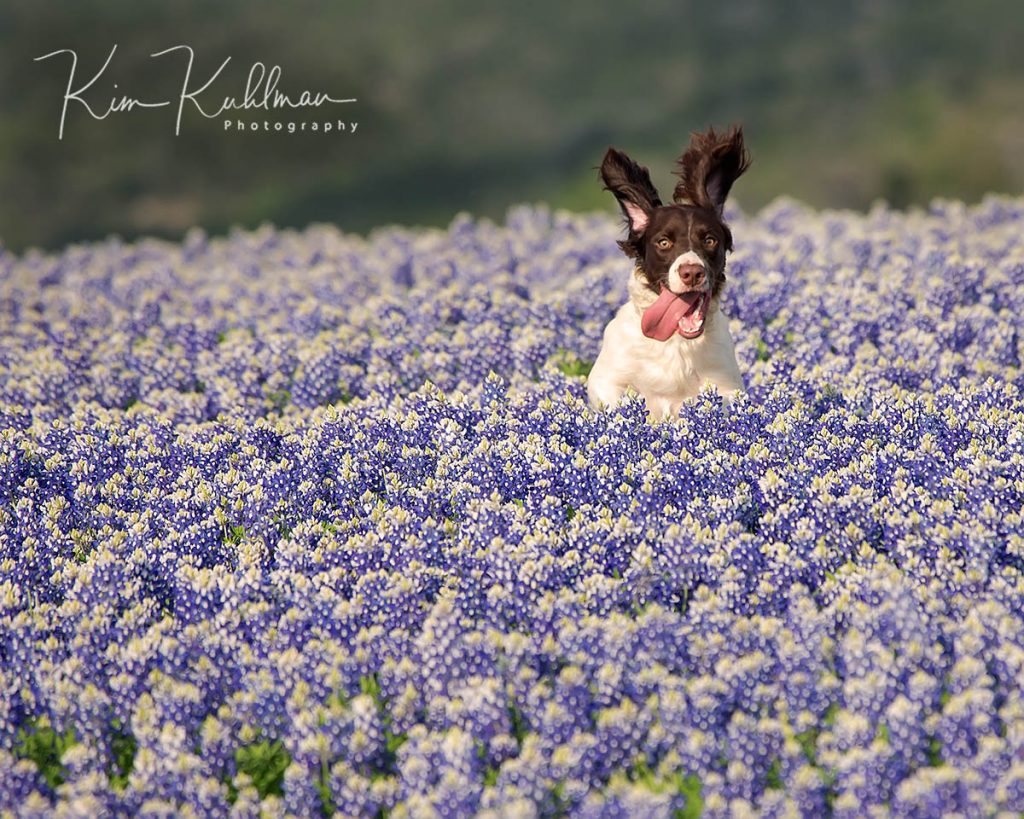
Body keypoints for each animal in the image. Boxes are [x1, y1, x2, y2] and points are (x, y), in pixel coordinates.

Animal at [589, 127, 749, 421]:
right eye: (664, 242)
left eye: (710, 240)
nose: (692, 272)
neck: (675, 343)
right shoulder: (604, 380)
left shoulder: (726, 385)